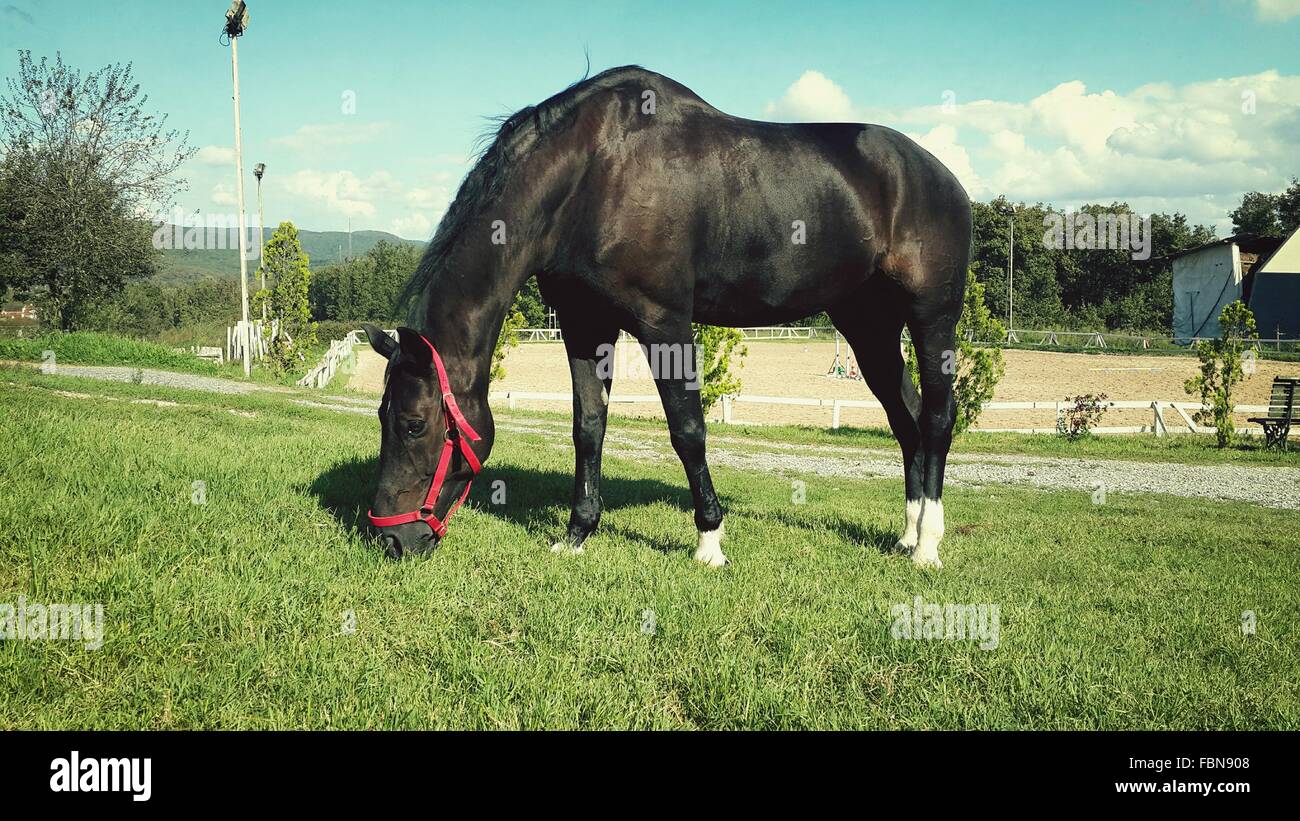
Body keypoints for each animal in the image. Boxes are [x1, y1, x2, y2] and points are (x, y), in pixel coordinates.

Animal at [361, 65, 971, 569]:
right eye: (381, 416)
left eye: (413, 424)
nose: (389, 539)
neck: (593, 174)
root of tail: (941, 176)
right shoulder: (584, 325)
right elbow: (588, 426)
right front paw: (577, 533)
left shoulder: (665, 325)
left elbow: (688, 430)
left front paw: (709, 542)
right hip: (868, 327)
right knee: (906, 417)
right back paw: (908, 535)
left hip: (932, 319)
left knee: (938, 417)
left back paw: (929, 546)